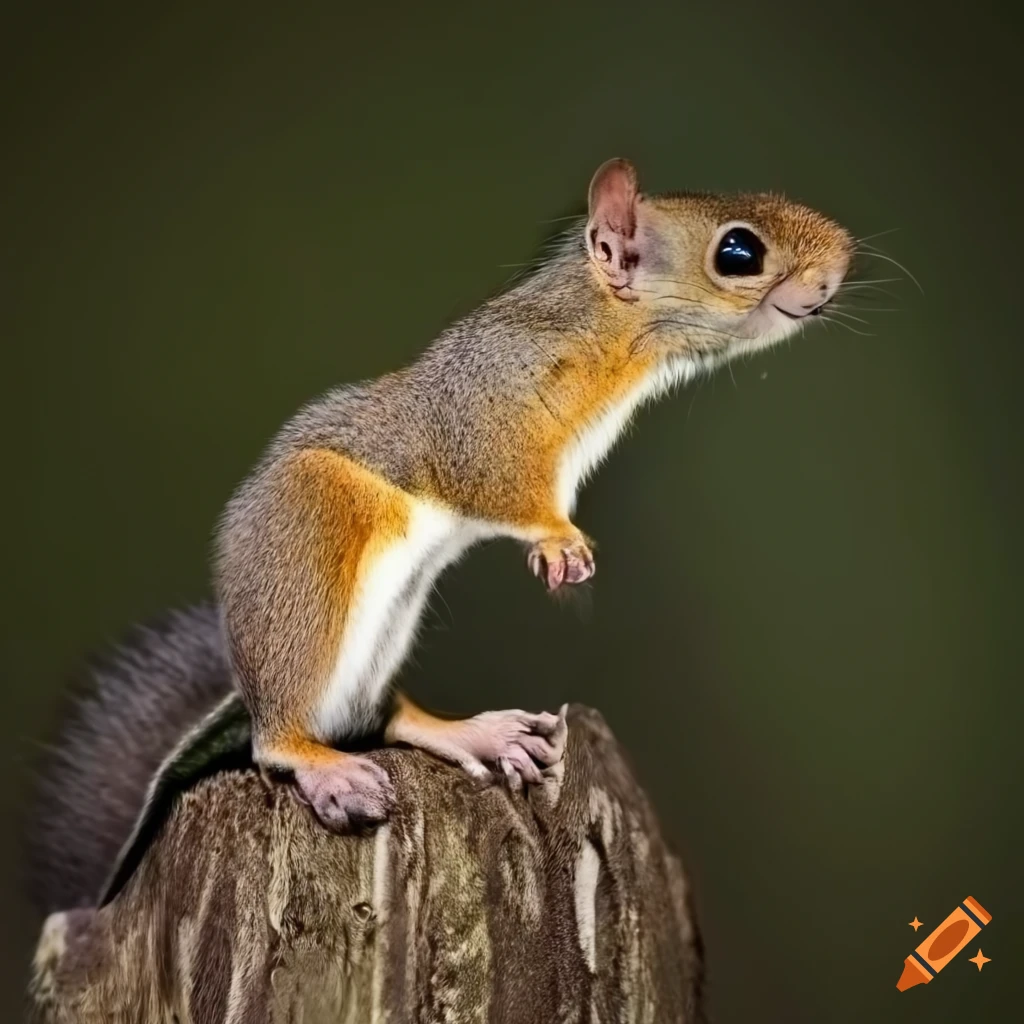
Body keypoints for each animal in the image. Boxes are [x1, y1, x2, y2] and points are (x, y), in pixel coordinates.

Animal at [29, 157, 853, 907]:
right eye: (739, 252)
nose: (838, 268)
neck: (609, 334)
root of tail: (252, 687)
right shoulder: (484, 412)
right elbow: (498, 484)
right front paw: (558, 541)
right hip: (310, 554)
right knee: (278, 743)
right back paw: (322, 765)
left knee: (379, 715)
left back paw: (467, 732)